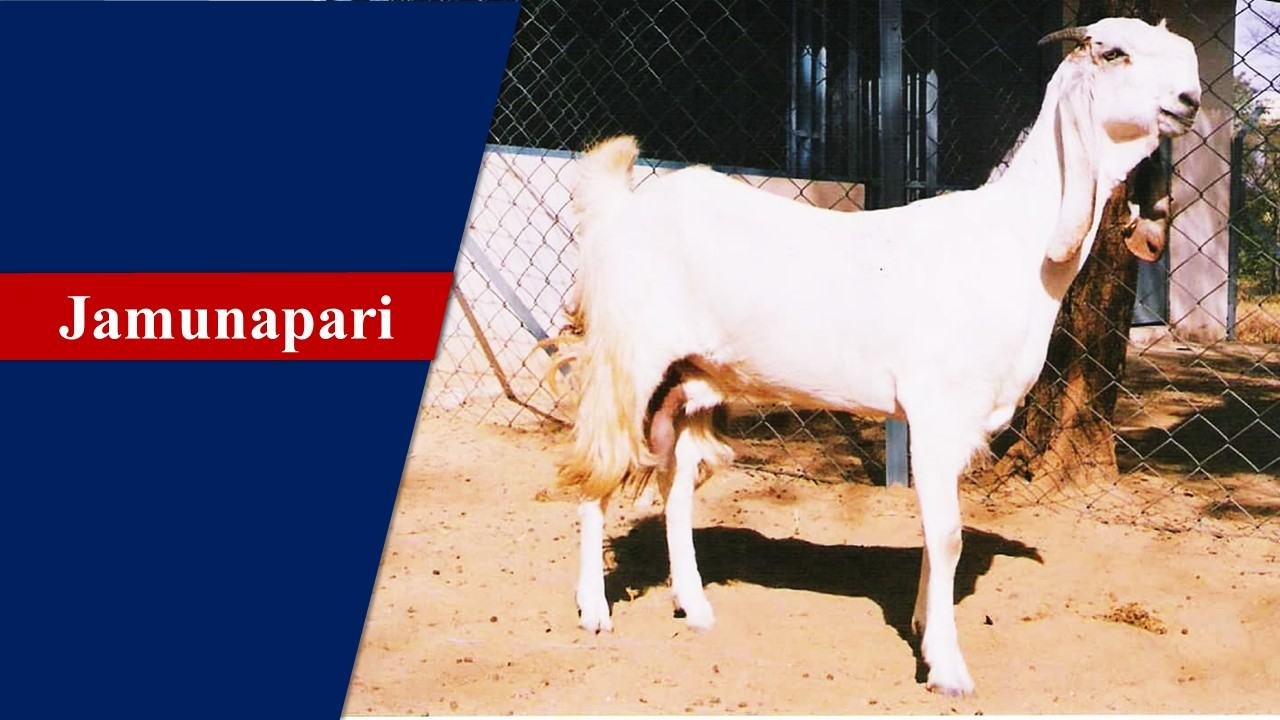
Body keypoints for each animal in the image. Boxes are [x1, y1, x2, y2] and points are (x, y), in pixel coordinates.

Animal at [560, 18, 1200, 696]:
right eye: (1114, 52)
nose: (1189, 100)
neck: (1011, 243)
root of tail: (625, 208)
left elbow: (933, 530)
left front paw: (922, 627)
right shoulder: (939, 409)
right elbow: (946, 535)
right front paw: (946, 667)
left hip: (691, 380)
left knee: (676, 483)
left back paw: (695, 605)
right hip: (629, 362)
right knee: (599, 471)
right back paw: (595, 610)